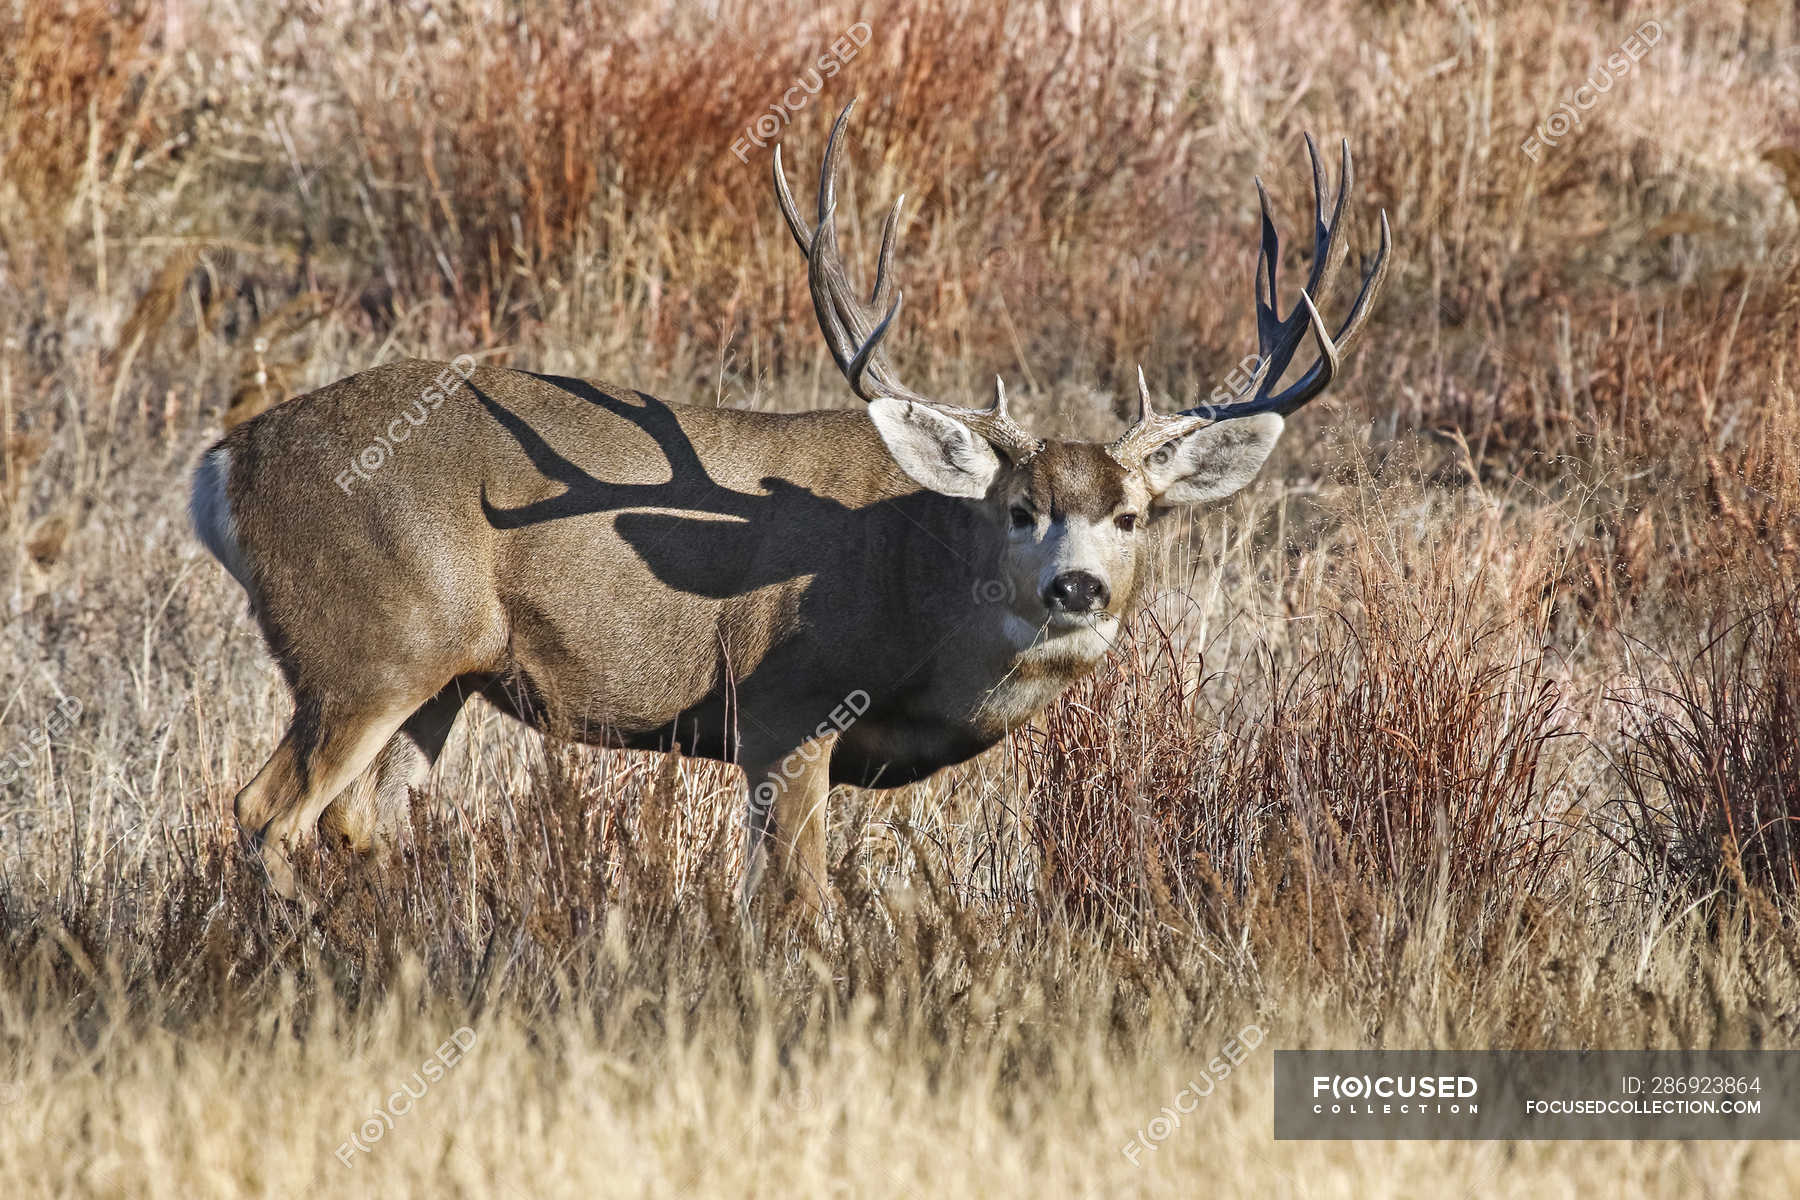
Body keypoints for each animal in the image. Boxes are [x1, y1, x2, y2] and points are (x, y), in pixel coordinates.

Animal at [190, 101, 1389, 909]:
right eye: (1017, 507)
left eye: (1134, 515)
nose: (1078, 587)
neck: (919, 589)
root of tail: (226, 465)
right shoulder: (785, 708)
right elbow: (795, 904)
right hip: (365, 642)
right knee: (267, 810)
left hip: (444, 674)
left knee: (359, 820)